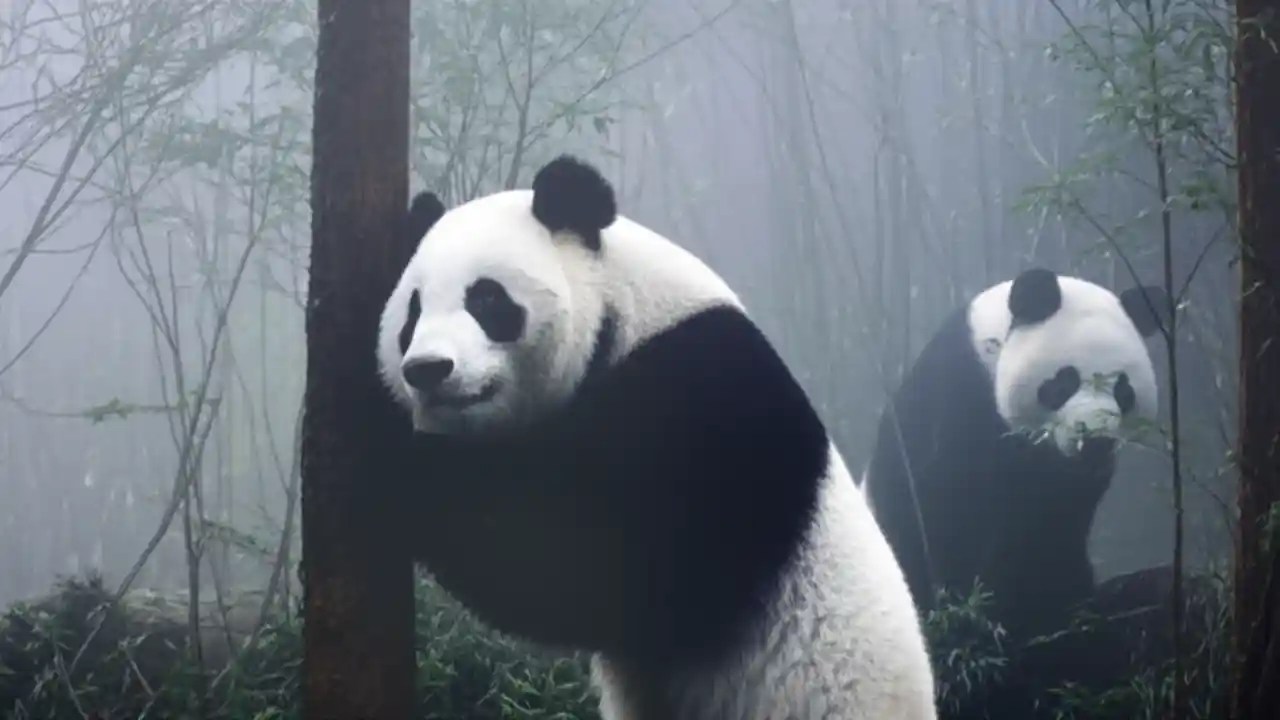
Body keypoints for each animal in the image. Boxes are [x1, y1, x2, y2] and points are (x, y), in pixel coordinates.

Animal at [376, 155, 937, 720]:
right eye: (413, 312)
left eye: (487, 299)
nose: (428, 369)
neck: (624, 306)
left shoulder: (702, 408)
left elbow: (579, 559)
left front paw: (398, 454)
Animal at [862, 267, 1165, 638]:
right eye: (1064, 382)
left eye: (1123, 390)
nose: (1096, 440)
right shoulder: (956, 398)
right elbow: (946, 505)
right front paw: (979, 610)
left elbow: (1053, 524)